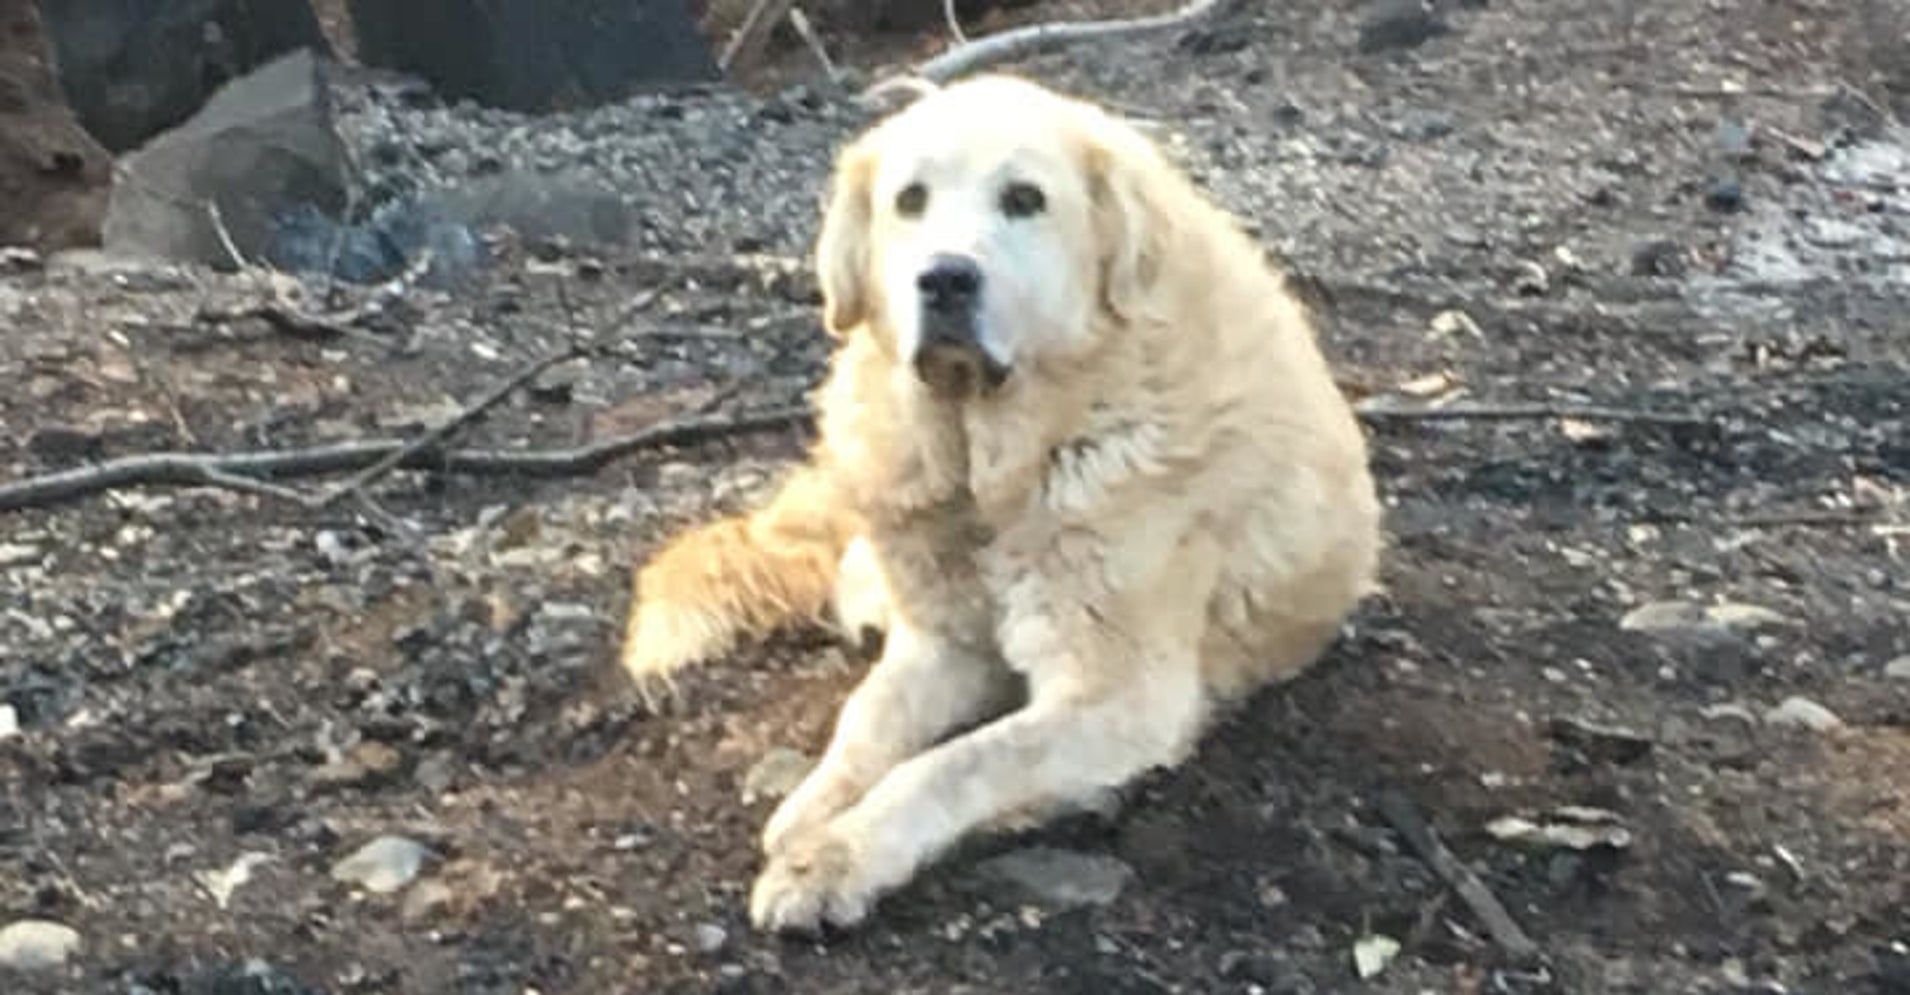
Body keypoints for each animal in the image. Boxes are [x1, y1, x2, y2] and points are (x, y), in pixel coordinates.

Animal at [618, 71, 1382, 931]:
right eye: (909, 199)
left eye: (1024, 199)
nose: (946, 277)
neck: (995, 460)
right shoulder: (942, 645)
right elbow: (866, 721)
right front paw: (814, 810)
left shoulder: (1118, 694)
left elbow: (952, 764)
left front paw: (836, 857)